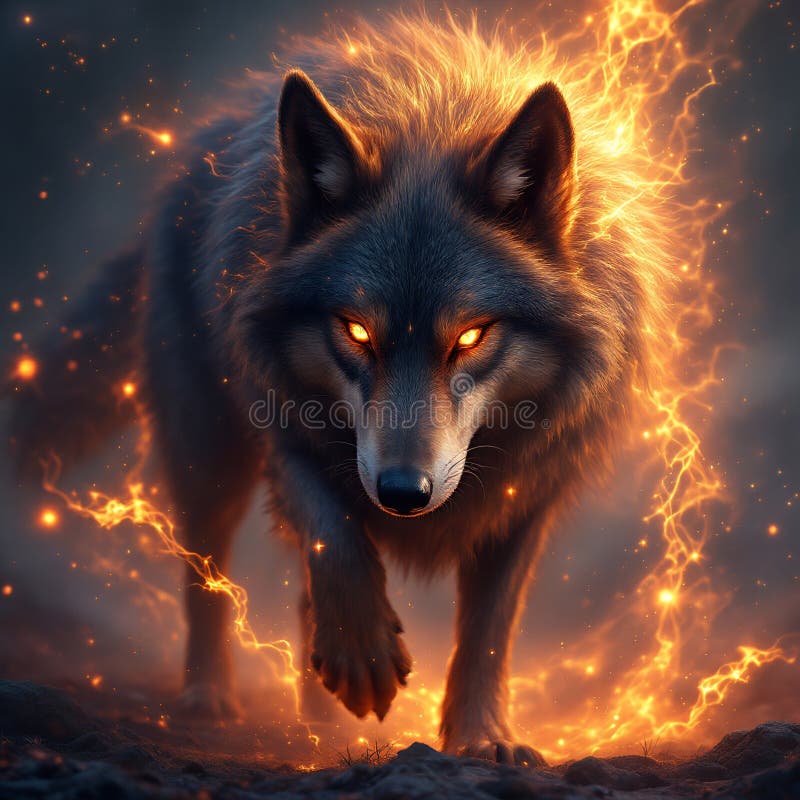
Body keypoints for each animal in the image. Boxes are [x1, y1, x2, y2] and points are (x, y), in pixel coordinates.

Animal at [8, 16, 664, 763]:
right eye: (355, 330)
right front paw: (362, 656)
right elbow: (333, 536)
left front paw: (481, 738)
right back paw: (213, 697)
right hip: (206, 450)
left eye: (470, 336)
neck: (432, 115)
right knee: (205, 572)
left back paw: (320, 722)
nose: (403, 493)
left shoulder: (527, 492)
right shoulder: (284, 429)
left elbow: (490, 629)